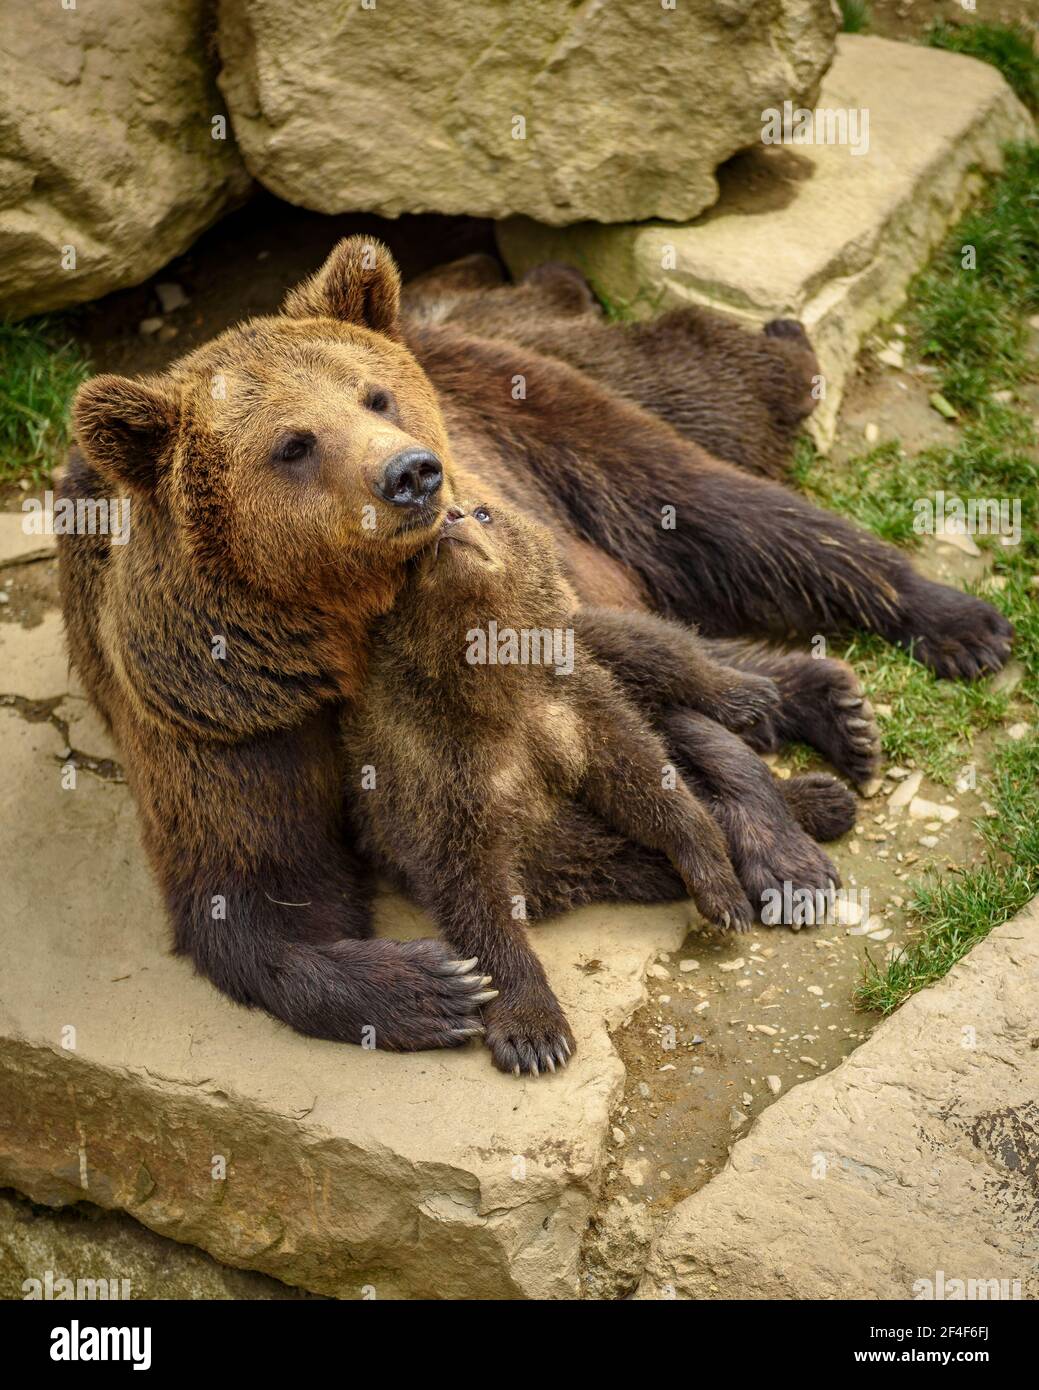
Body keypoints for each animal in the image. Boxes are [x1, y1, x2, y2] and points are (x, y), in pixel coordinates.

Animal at [60, 235, 1012, 1050]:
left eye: (372, 396)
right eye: (293, 444)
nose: (410, 473)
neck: (349, 630)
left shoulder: (522, 597)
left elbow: (649, 720)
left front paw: (772, 843)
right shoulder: (232, 718)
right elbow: (252, 893)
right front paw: (432, 989)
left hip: (550, 429)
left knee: (724, 495)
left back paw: (940, 632)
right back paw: (825, 707)